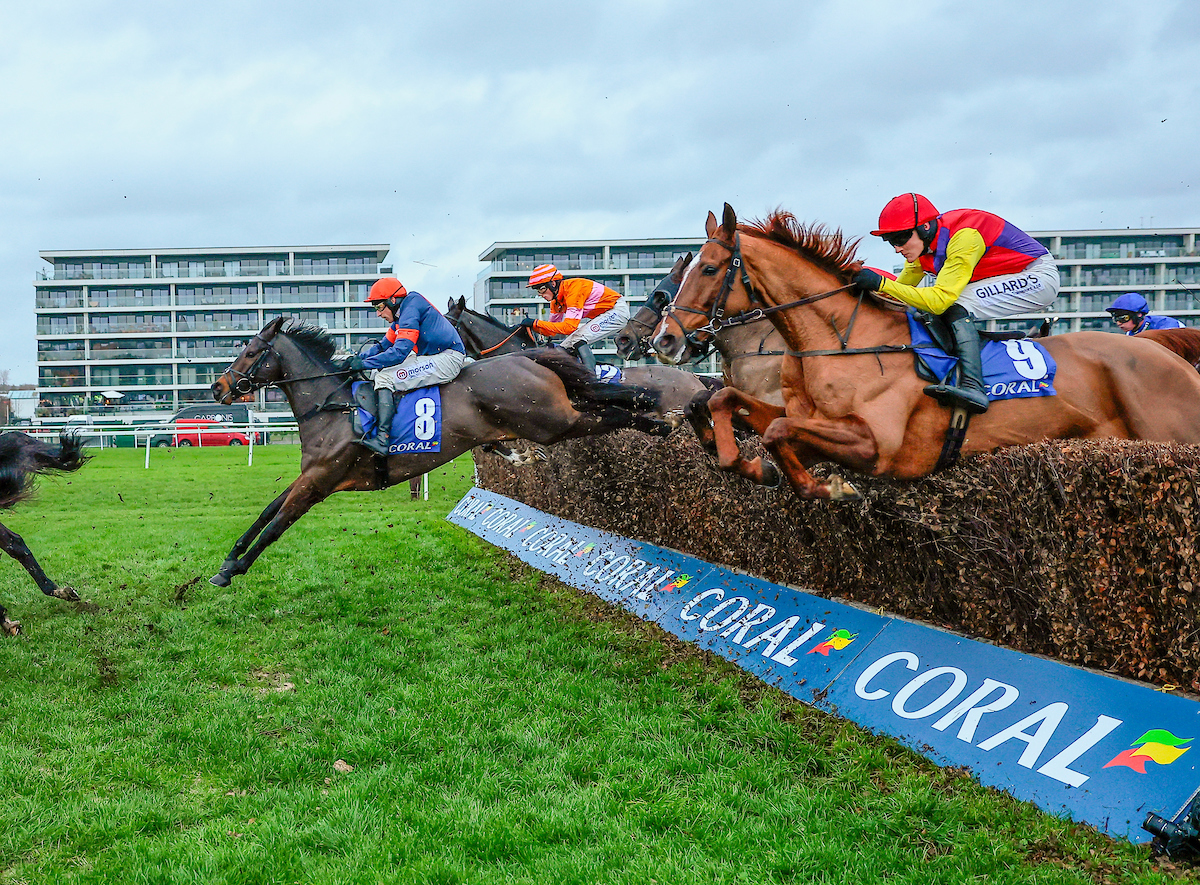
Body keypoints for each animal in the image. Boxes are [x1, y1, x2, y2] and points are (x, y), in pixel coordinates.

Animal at [208, 317, 677, 586]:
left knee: (610, 415)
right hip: (556, 417)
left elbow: (277, 525)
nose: (218, 387)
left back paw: (661, 423)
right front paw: (228, 559)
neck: (334, 409)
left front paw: (234, 571)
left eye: (251, 351)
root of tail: (530, 357)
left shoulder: (320, 482)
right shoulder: (309, 476)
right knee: (607, 404)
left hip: (553, 424)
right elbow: (267, 511)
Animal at [652, 203, 1200, 500]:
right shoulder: (808, 422)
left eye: (707, 268)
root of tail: (1165, 354)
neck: (838, 341)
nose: (664, 340)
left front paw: (832, 488)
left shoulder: (880, 448)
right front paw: (749, 464)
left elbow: (777, 432)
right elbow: (727, 404)